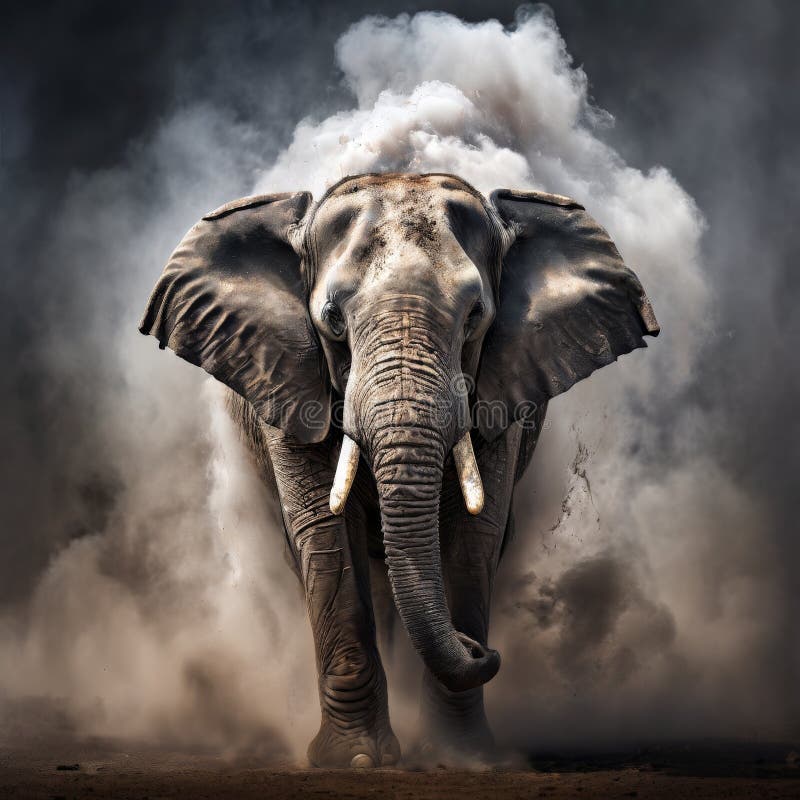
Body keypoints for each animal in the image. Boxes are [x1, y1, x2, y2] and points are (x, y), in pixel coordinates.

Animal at [140, 172, 659, 767]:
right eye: (331, 321)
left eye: (475, 318)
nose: (482, 649)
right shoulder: (287, 378)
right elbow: (325, 533)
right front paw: (357, 761)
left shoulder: (502, 388)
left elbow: (473, 538)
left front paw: (460, 758)